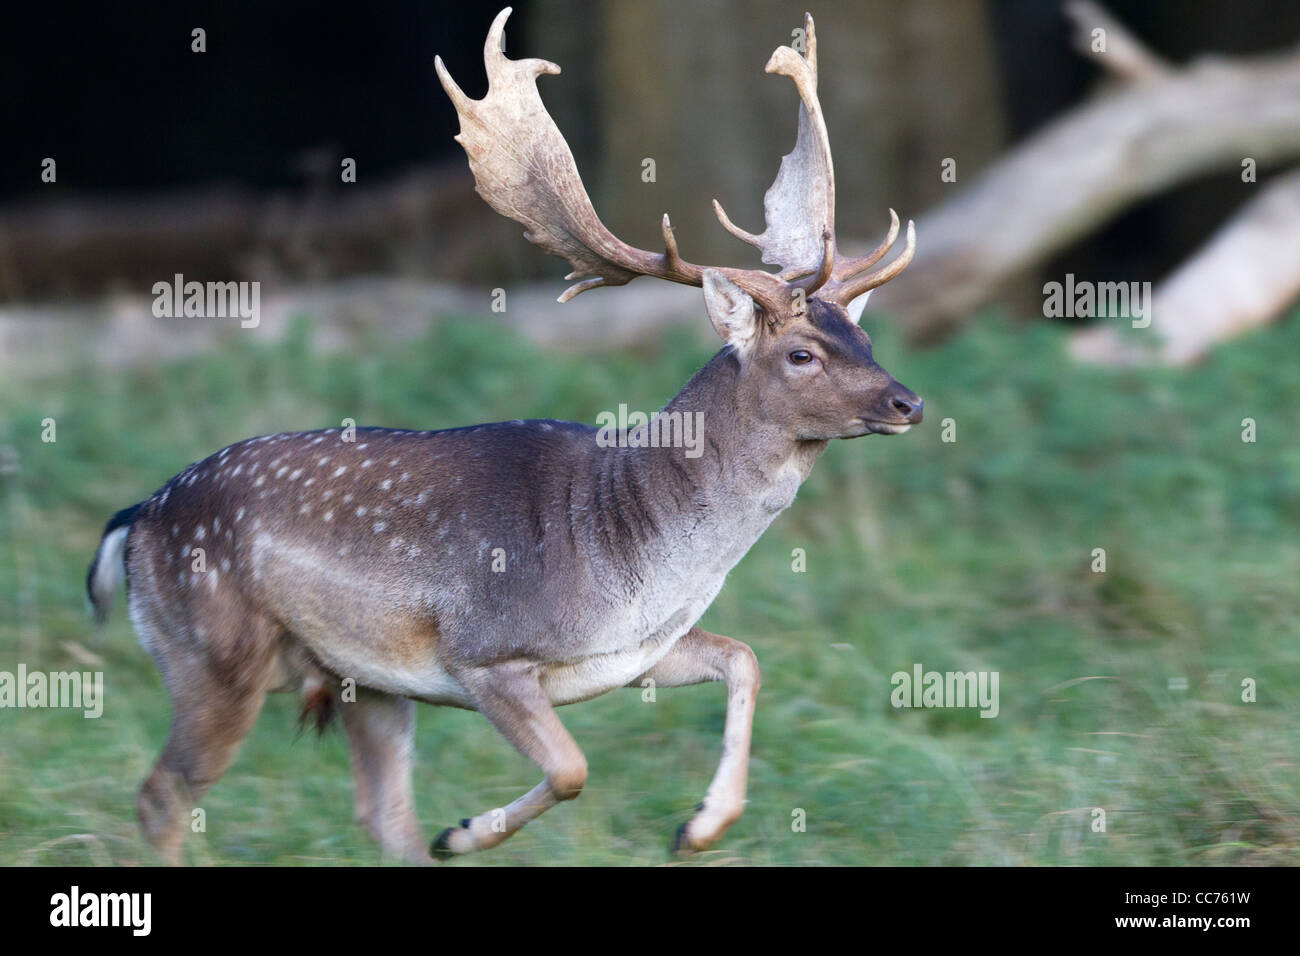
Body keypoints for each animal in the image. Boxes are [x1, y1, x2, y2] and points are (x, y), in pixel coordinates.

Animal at [86, 7, 921, 863]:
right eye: (801, 353)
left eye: (862, 335)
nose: (908, 403)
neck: (632, 556)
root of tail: (135, 521)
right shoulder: (484, 651)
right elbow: (572, 768)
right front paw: (468, 830)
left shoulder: (635, 656)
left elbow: (745, 659)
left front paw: (699, 825)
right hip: (212, 654)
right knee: (163, 795)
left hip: (364, 685)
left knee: (383, 816)